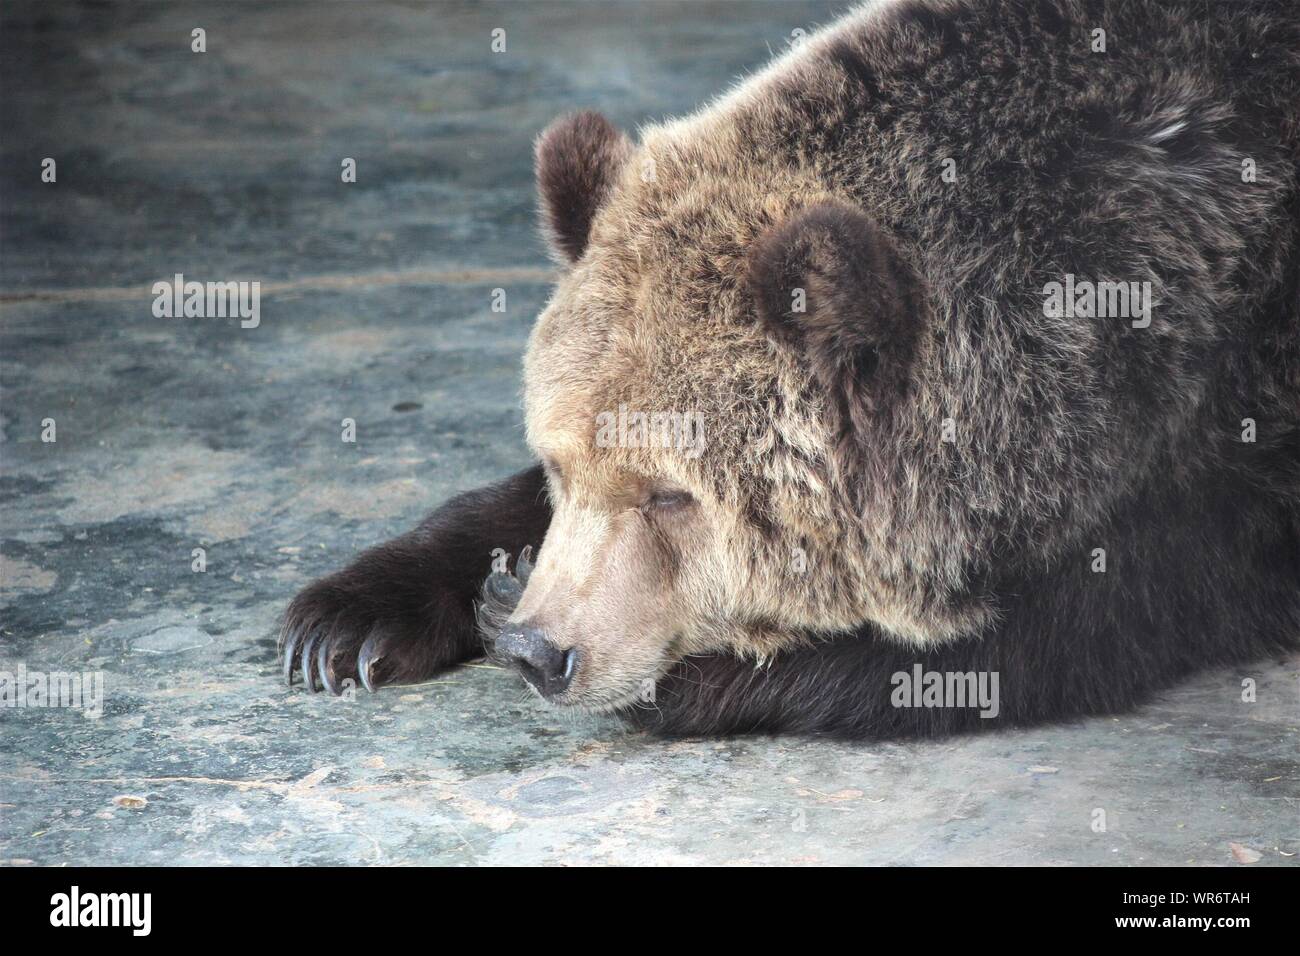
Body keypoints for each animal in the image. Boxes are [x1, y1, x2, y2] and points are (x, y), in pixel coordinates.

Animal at [280, 0, 1300, 739]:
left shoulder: (1229, 452)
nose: (541, 648)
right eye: (562, 464)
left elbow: (1068, 628)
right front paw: (349, 622)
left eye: (674, 494)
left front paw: (697, 674)